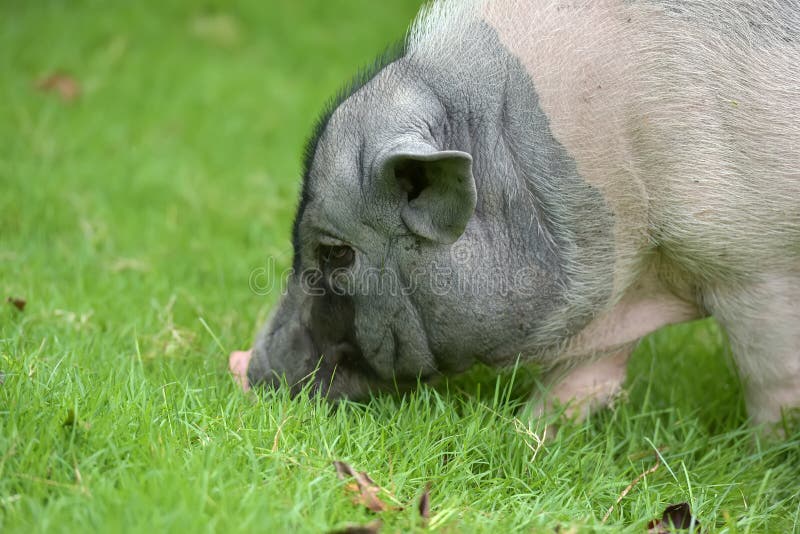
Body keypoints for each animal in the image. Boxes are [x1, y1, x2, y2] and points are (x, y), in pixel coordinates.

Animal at [231, 0, 800, 427]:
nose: (250, 369)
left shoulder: (755, 268)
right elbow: (579, 384)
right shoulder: (611, 291)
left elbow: (773, 382)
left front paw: (762, 455)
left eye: (336, 253)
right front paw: (523, 438)